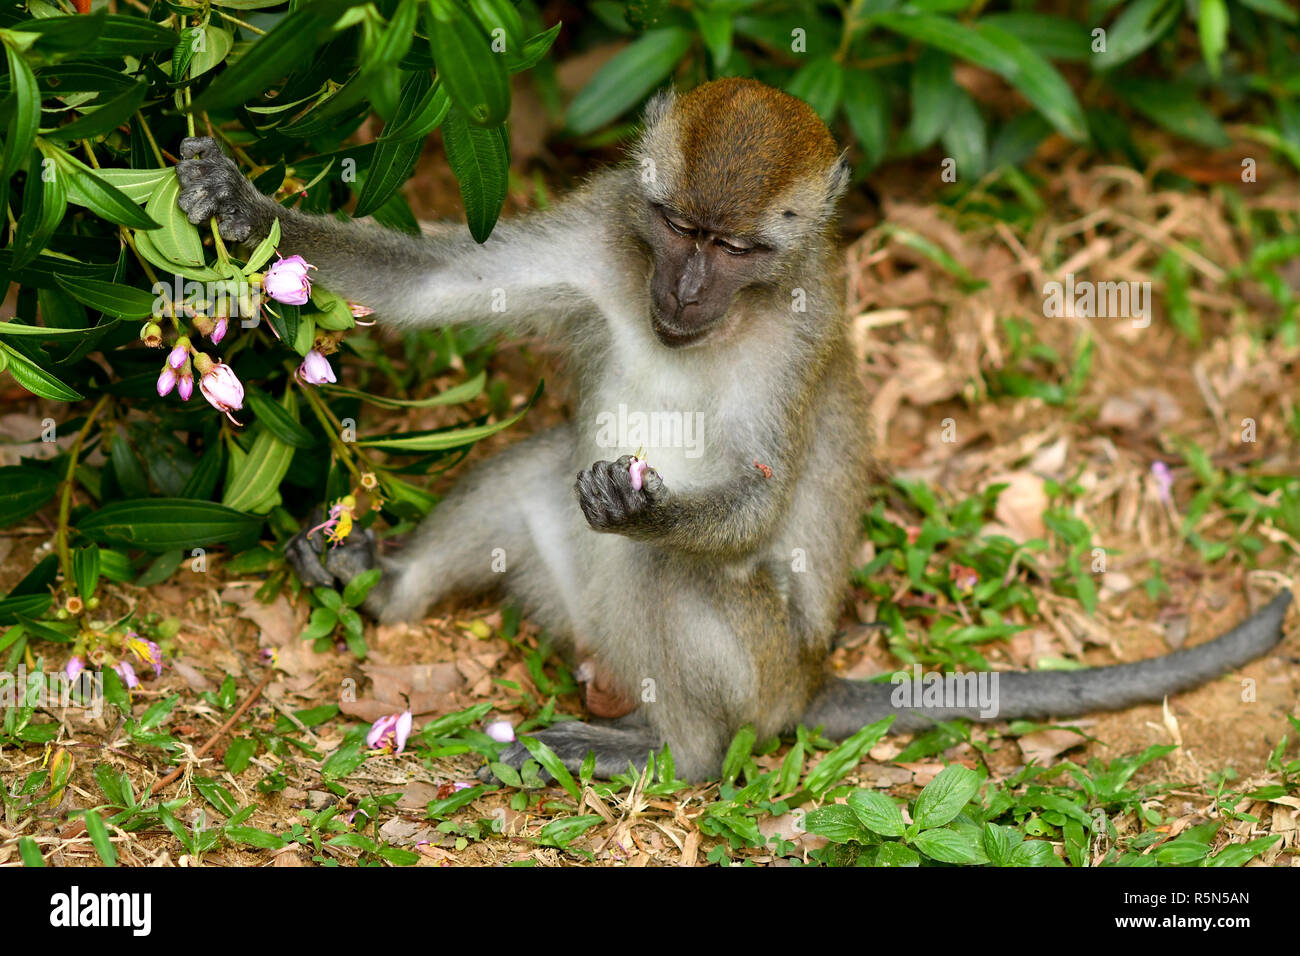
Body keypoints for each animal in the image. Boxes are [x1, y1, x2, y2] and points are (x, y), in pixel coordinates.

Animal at [175, 77, 1293, 782]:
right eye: (678, 228)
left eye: (739, 248)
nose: (681, 289)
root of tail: (807, 683)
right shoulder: (604, 230)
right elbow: (433, 285)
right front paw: (236, 204)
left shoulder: (797, 332)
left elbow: (750, 505)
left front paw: (646, 505)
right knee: (539, 472)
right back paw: (387, 589)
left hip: (757, 669)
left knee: (671, 570)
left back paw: (681, 751)